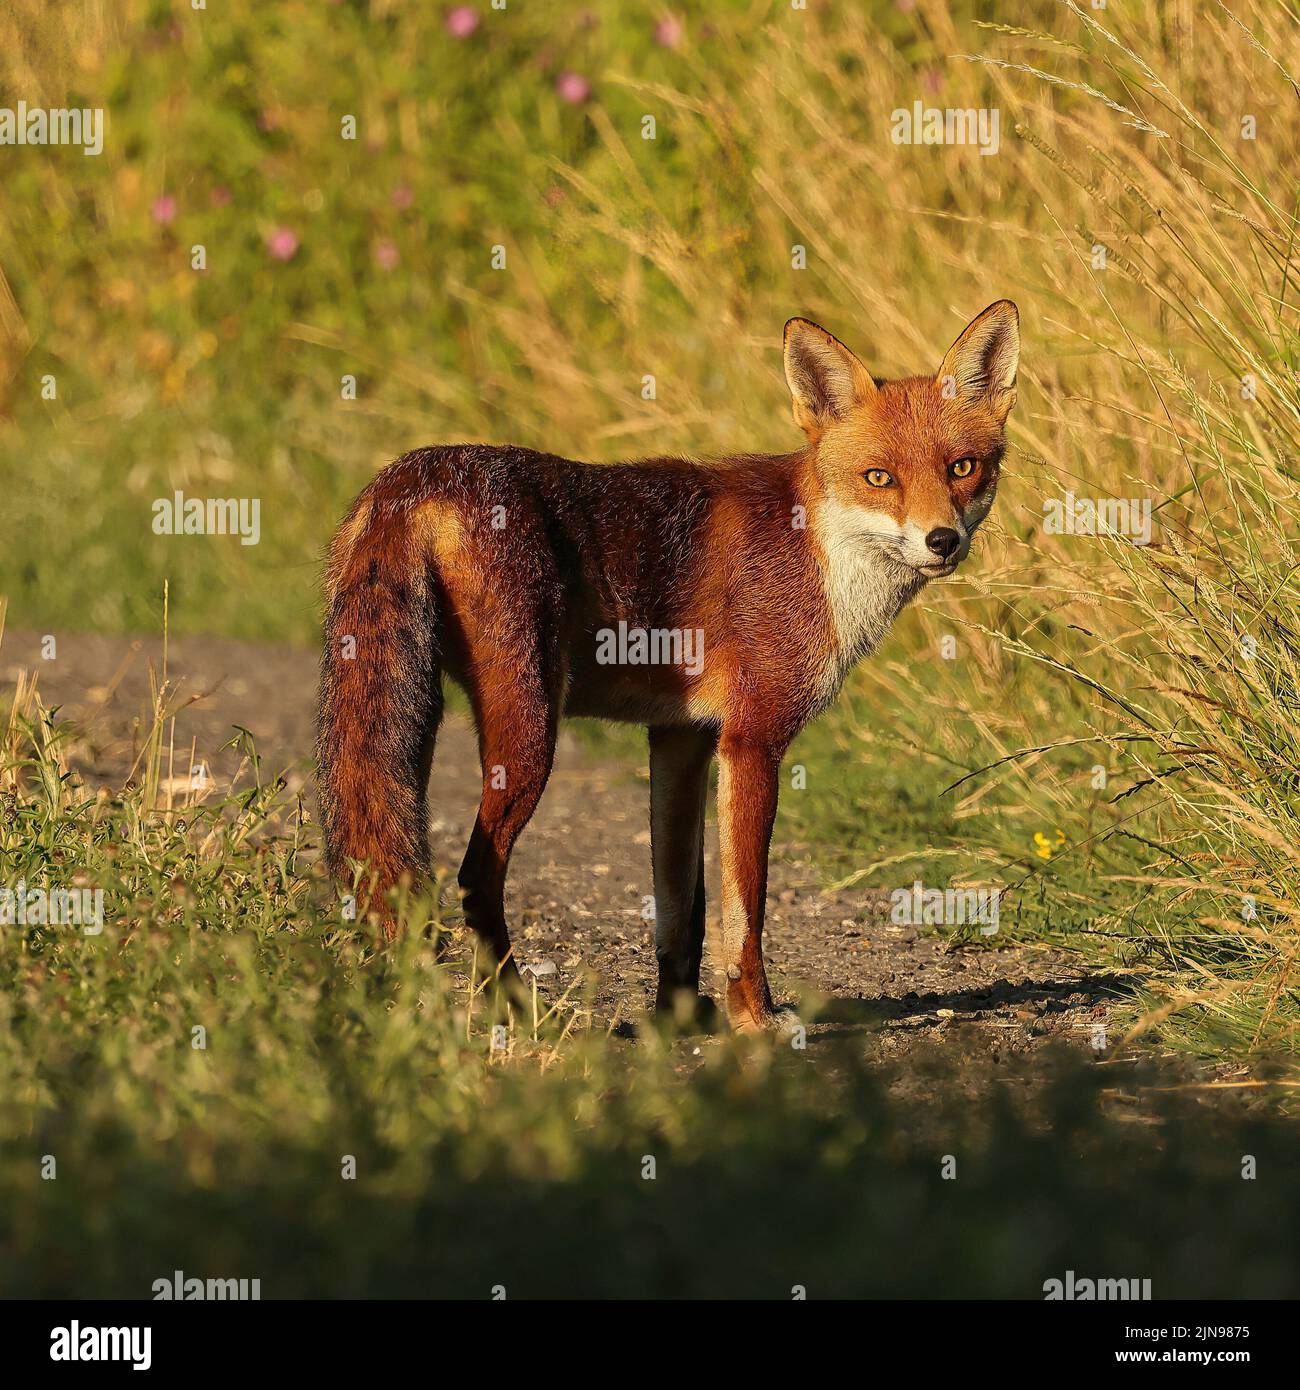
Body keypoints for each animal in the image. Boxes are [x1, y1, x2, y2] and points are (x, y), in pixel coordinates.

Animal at [317, 300, 1020, 1032]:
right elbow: (744, 912)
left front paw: (679, 1017)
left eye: (962, 467)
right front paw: (755, 1018)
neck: (821, 552)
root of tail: (410, 474)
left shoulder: (683, 737)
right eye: (880, 478)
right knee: (474, 878)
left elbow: (683, 908)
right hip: (528, 734)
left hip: (410, 722)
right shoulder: (752, 740)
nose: (943, 540)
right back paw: (516, 1010)